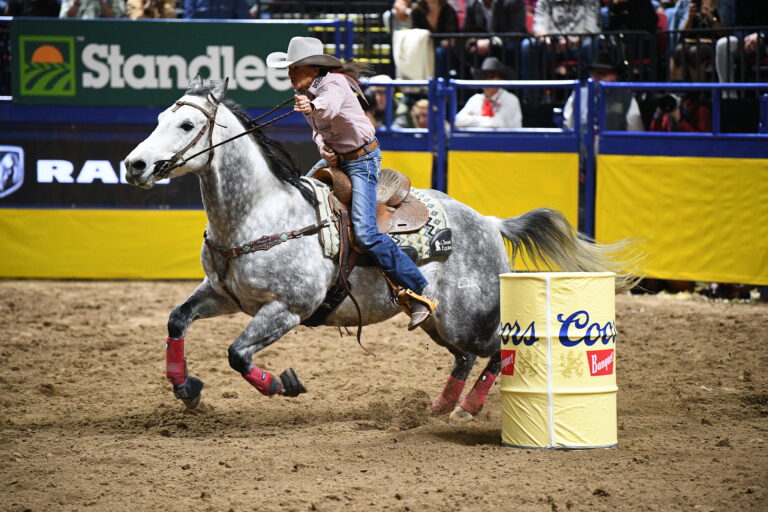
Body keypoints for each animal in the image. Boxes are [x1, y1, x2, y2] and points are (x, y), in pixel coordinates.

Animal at [124, 77, 638, 419]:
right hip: (437, 320)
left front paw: (284, 384)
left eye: (187, 123)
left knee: (495, 349)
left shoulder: (287, 308)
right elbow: (176, 320)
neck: (261, 213)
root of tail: (490, 223)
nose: (134, 165)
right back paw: (441, 406)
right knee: (464, 357)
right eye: (160, 119)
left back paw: (467, 408)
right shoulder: (222, 294)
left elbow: (237, 354)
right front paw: (186, 387)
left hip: (466, 316)